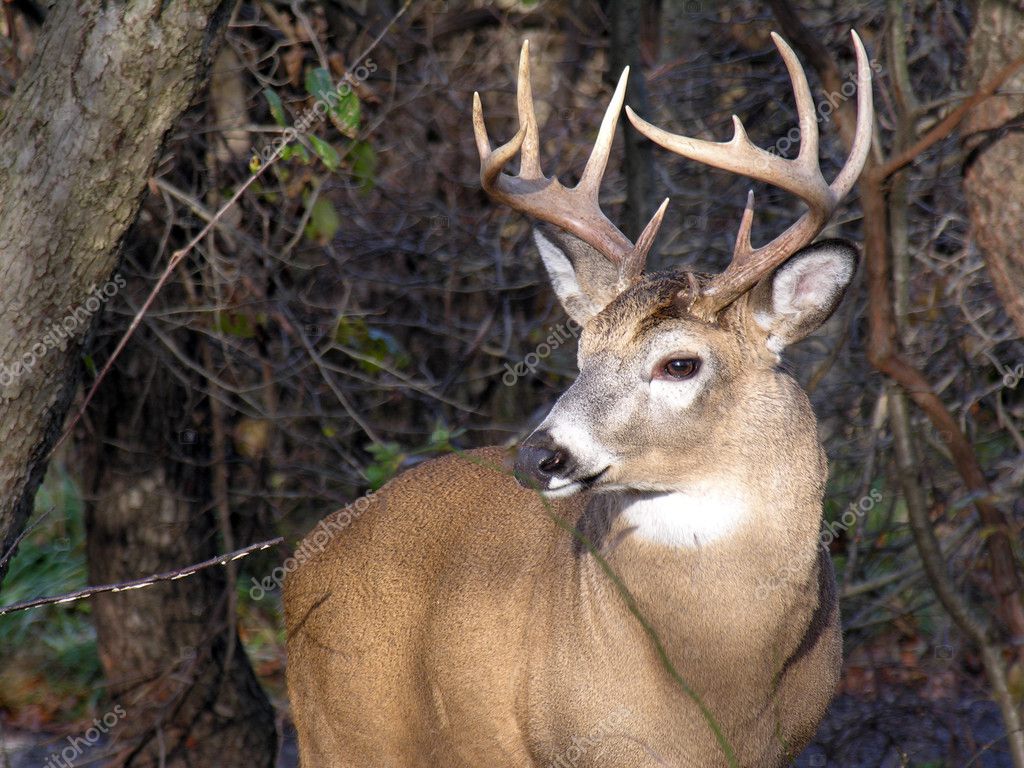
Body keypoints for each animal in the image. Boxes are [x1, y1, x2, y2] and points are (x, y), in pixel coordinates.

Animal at [285, 31, 873, 768]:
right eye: (581, 353)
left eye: (680, 363)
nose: (537, 456)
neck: (721, 694)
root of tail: (299, 566)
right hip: (343, 734)